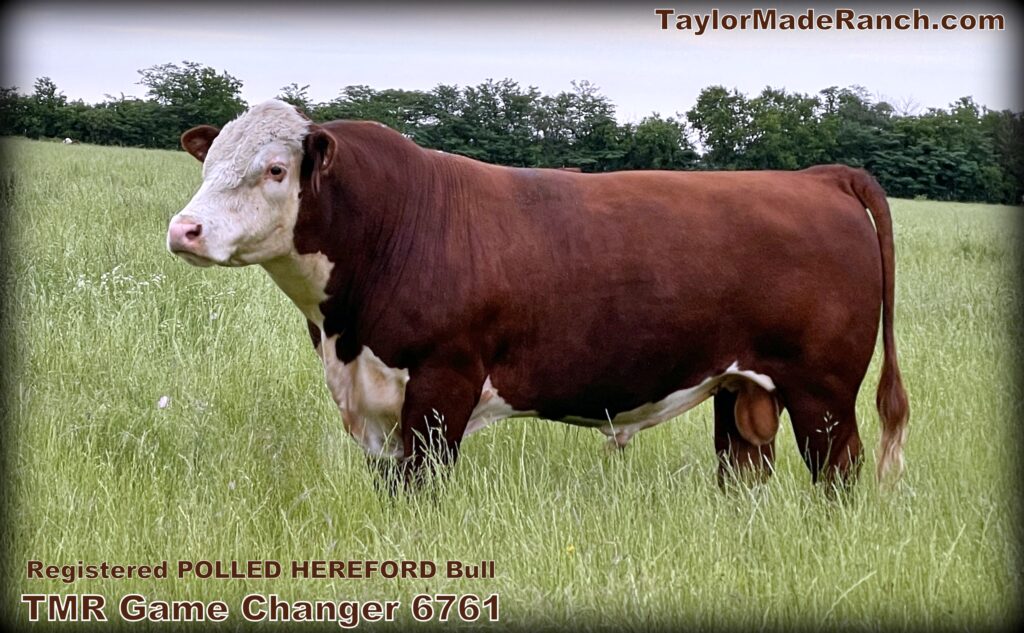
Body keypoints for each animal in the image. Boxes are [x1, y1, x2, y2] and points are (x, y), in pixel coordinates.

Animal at [167, 100, 909, 490]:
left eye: (275, 169)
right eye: (209, 161)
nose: (184, 229)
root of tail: (818, 175)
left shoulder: (442, 383)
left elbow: (422, 486)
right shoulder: (377, 401)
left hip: (822, 391)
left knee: (840, 476)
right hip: (742, 388)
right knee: (745, 473)